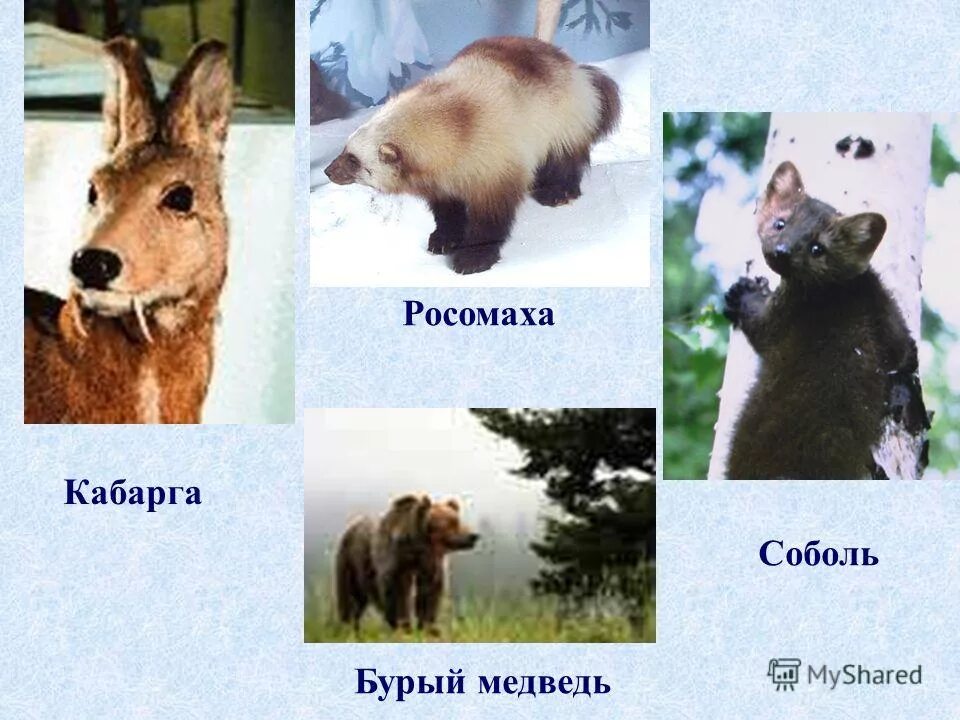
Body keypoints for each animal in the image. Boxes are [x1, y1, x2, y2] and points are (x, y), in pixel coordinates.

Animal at [335, 494, 479, 633]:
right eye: (451, 522)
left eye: (458, 520)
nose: (473, 536)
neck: (419, 548)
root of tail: (352, 526)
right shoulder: (398, 563)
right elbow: (398, 593)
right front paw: (403, 626)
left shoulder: (431, 564)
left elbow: (429, 593)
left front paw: (429, 627)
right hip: (351, 563)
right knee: (351, 598)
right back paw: (348, 626)